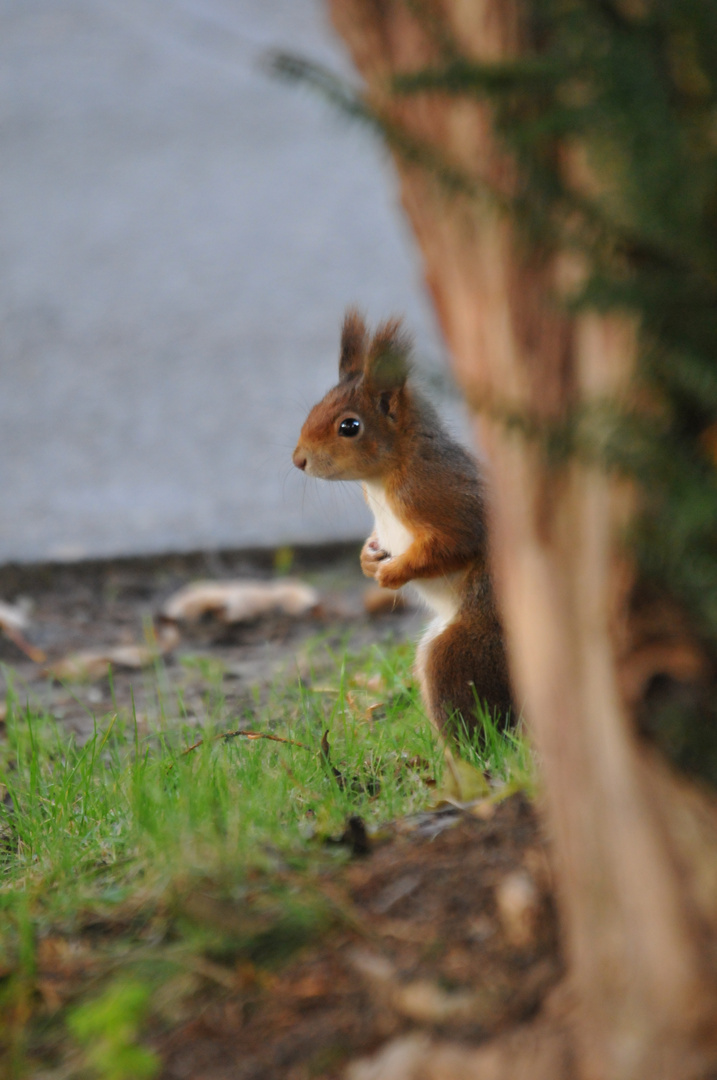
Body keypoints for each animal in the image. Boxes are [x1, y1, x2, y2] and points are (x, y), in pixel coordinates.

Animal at [292, 309, 514, 738]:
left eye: (349, 427)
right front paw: (368, 559)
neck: (381, 479)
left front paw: (393, 574)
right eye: (315, 407)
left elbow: (453, 544)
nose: (298, 460)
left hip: (458, 654)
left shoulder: (438, 496)